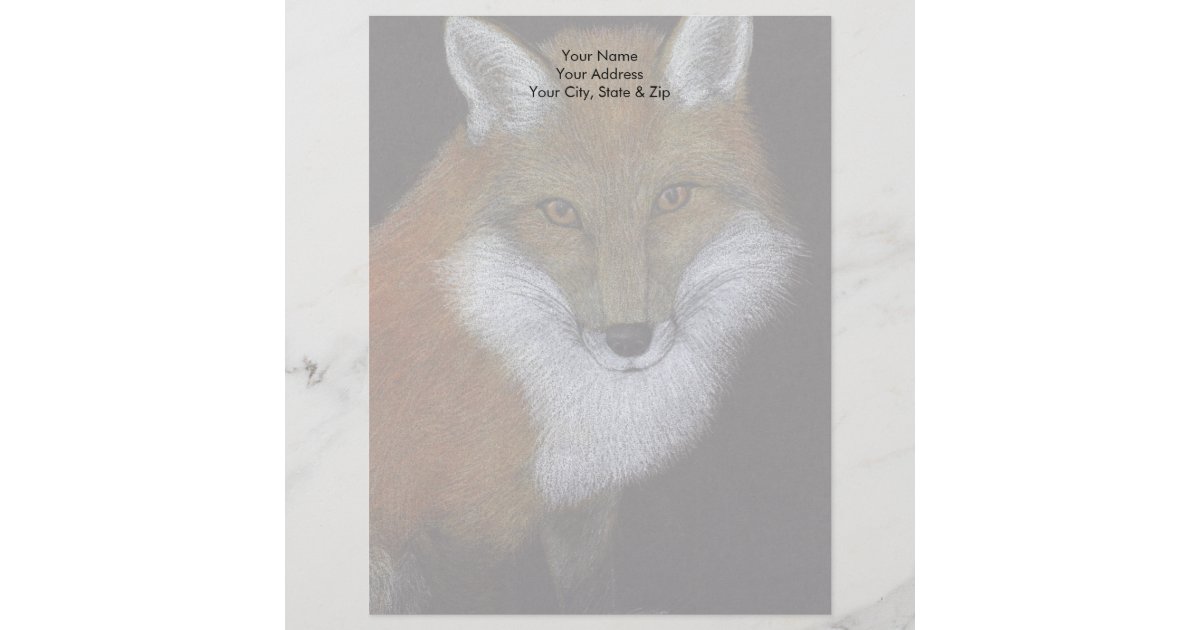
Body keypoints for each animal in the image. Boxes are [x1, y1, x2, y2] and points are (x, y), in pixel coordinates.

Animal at [369, 16, 804, 613]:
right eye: (560, 212)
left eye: (672, 198)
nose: (629, 340)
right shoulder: (464, 532)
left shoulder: (583, 504)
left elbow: (588, 594)